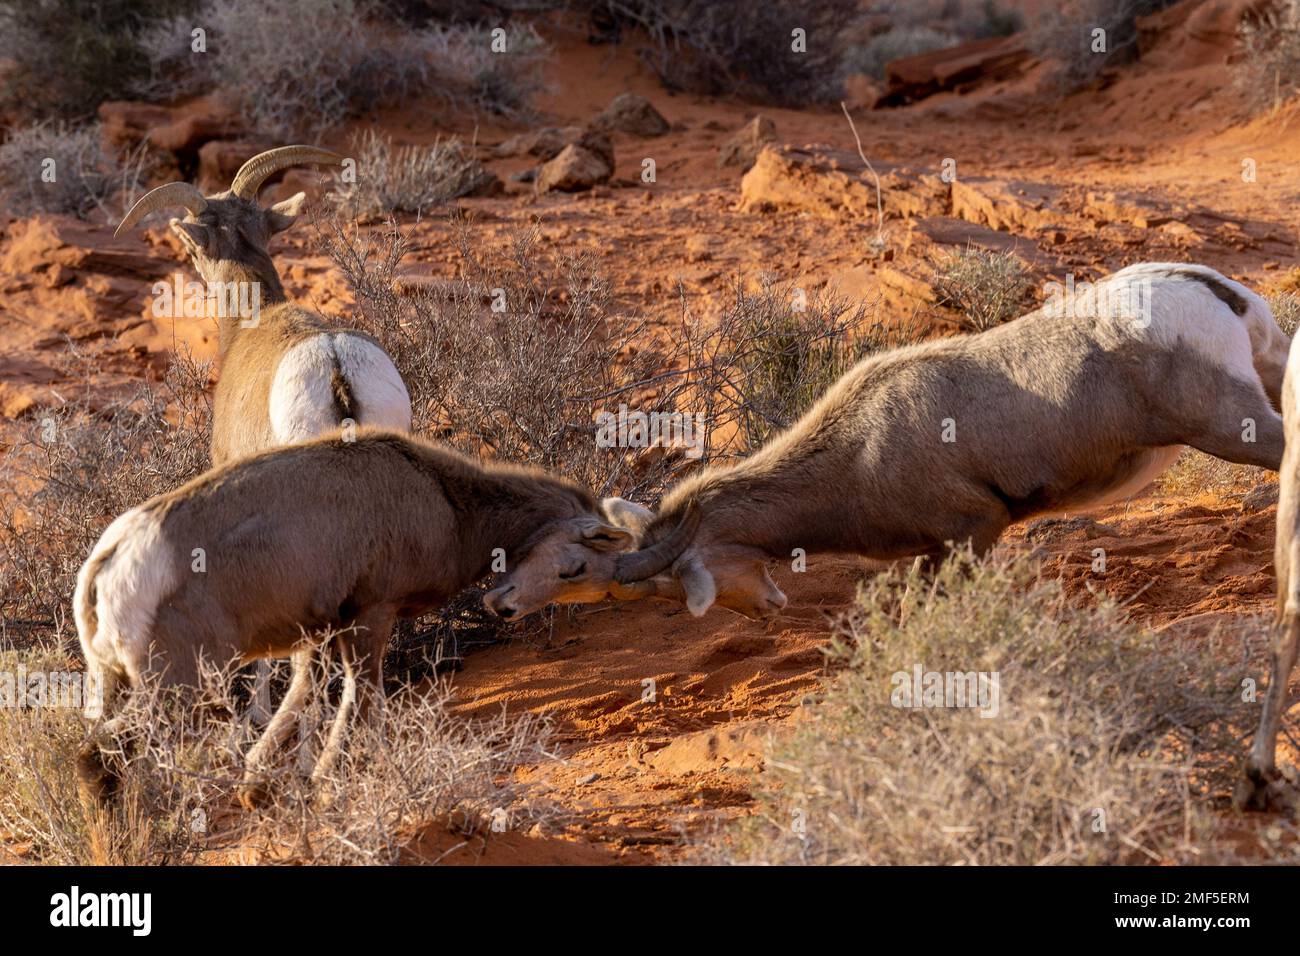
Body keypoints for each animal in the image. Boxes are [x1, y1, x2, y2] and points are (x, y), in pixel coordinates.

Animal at [72, 430, 699, 803]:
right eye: (573, 568)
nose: (502, 606)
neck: (443, 500)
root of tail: (108, 567)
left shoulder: (320, 633)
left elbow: (304, 693)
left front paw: (259, 782)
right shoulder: (369, 617)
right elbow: (361, 695)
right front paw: (328, 783)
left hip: (120, 683)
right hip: (179, 690)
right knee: (96, 757)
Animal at [484, 263, 1290, 621]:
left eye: (572, 570)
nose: (500, 604)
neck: (856, 454)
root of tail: (1213, 289)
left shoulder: (974, 529)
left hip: (1230, 426)